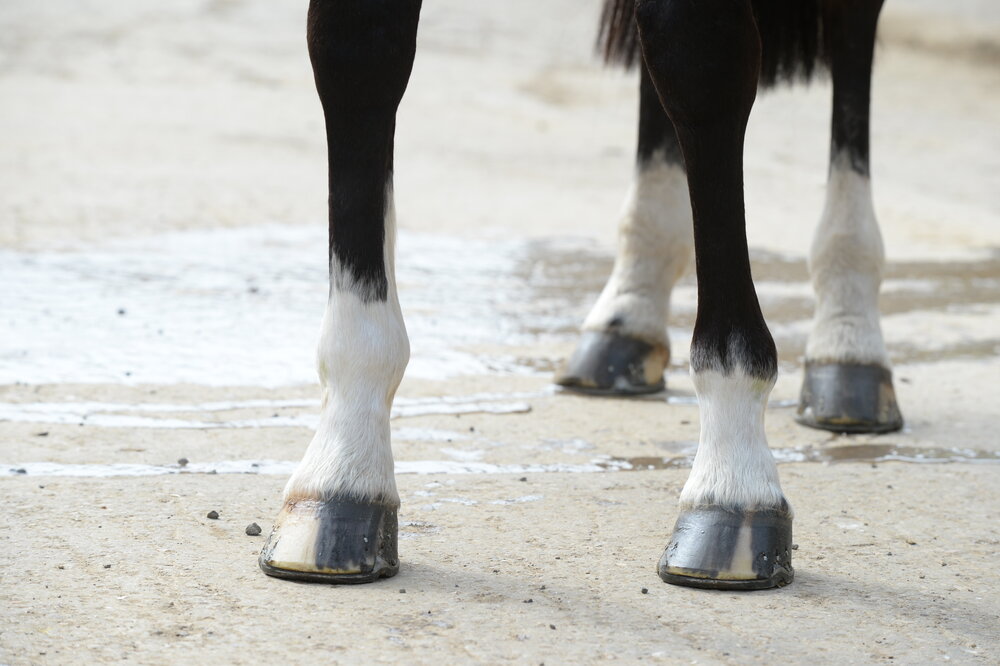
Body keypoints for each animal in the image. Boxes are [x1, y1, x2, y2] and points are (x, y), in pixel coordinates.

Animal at [257, 0, 899, 590]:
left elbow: (702, 69)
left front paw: (732, 479)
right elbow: (357, 56)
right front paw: (342, 471)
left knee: (848, 32)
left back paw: (849, 338)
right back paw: (629, 315)